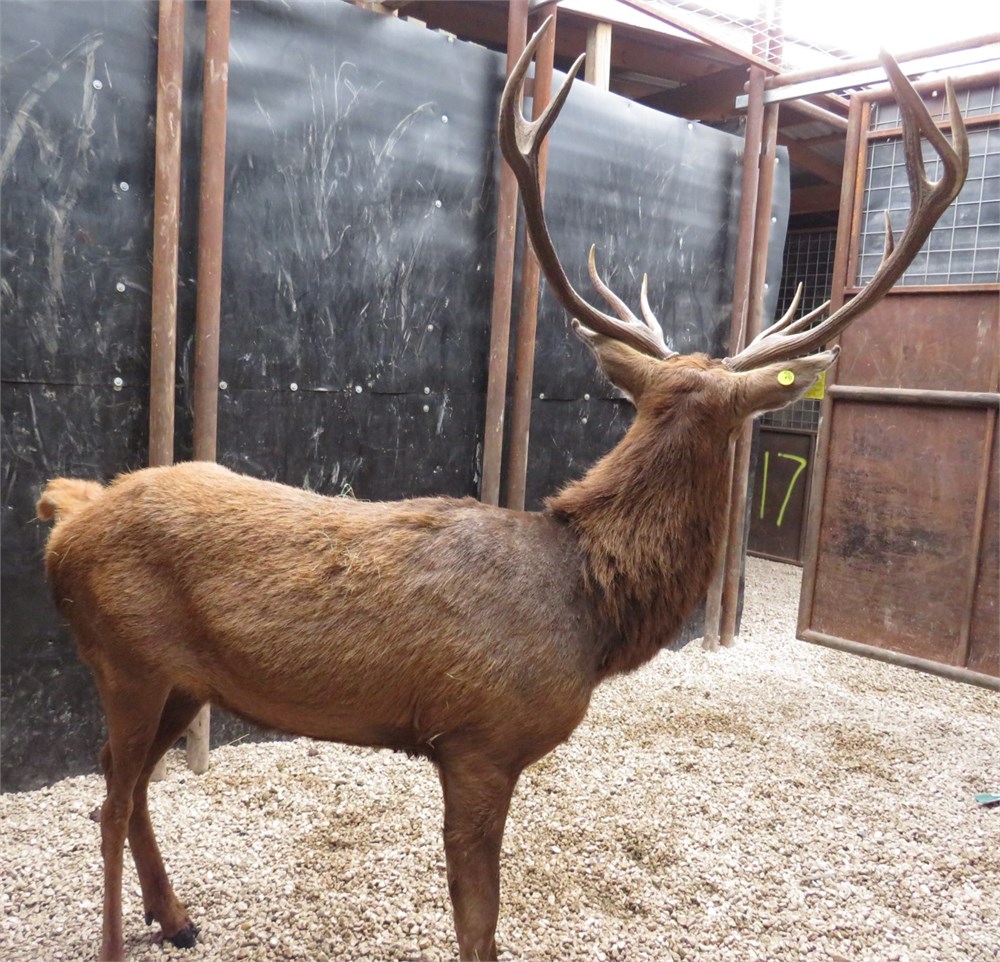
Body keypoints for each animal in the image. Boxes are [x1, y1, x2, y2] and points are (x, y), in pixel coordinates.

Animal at [36, 18, 966, 962]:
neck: (587, 604)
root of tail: (67, 514)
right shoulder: (479, 739)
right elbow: (478, 920)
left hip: (181, 677)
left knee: (123, 786)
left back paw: (177, 915)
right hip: (125, 658)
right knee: (107, 800)